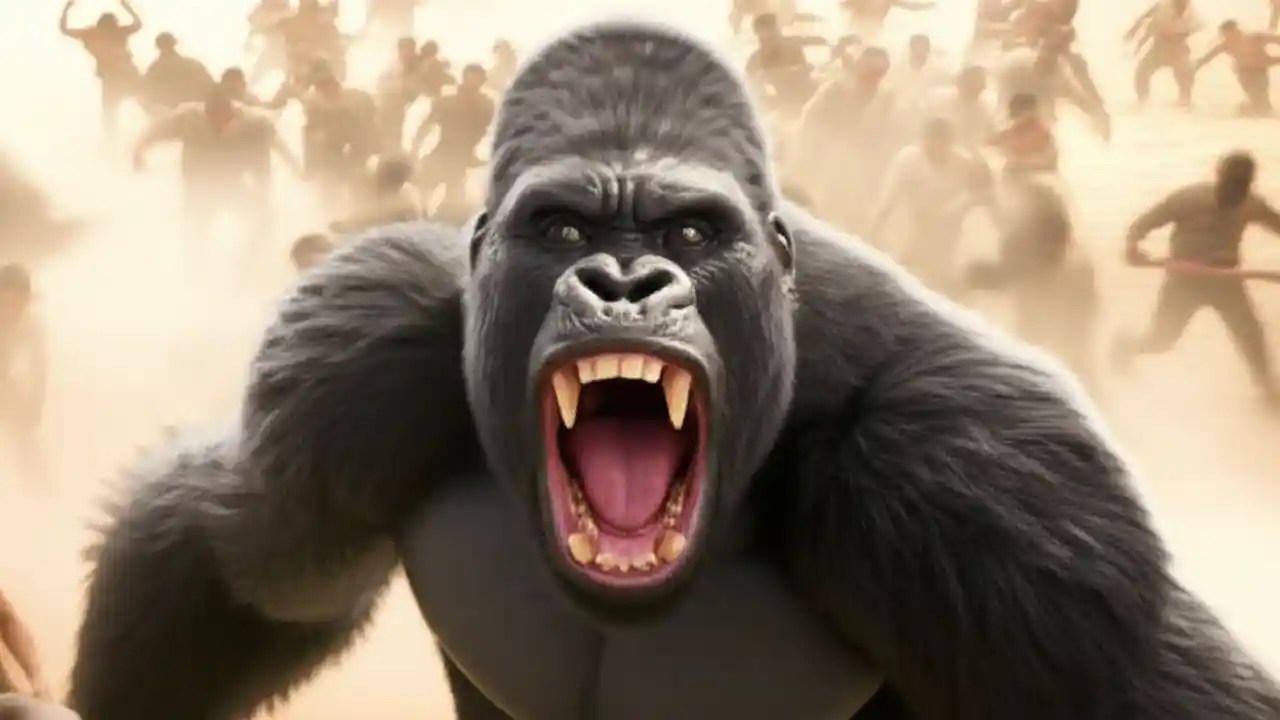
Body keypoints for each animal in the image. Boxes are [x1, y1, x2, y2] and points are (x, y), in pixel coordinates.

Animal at [68, 21, 1280, 720]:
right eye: (561, 229)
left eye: (691, 234)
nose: (623, 280)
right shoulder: (353, 367)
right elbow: (249, 559)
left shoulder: (1000, 511)